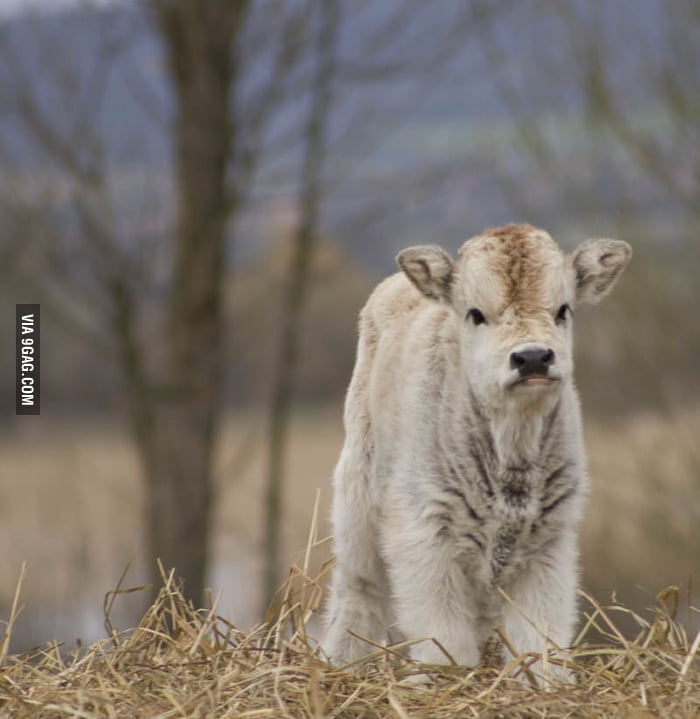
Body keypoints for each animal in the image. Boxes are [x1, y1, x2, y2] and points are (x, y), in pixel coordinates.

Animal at [323, 223, 631, 671]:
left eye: (563, 310)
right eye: (475, 313)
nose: (533, 357)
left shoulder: (549, 543)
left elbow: (540, 633)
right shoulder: (423, 529)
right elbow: (444, 633)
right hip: (357, 498)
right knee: (358, 591)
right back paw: (338, 662)